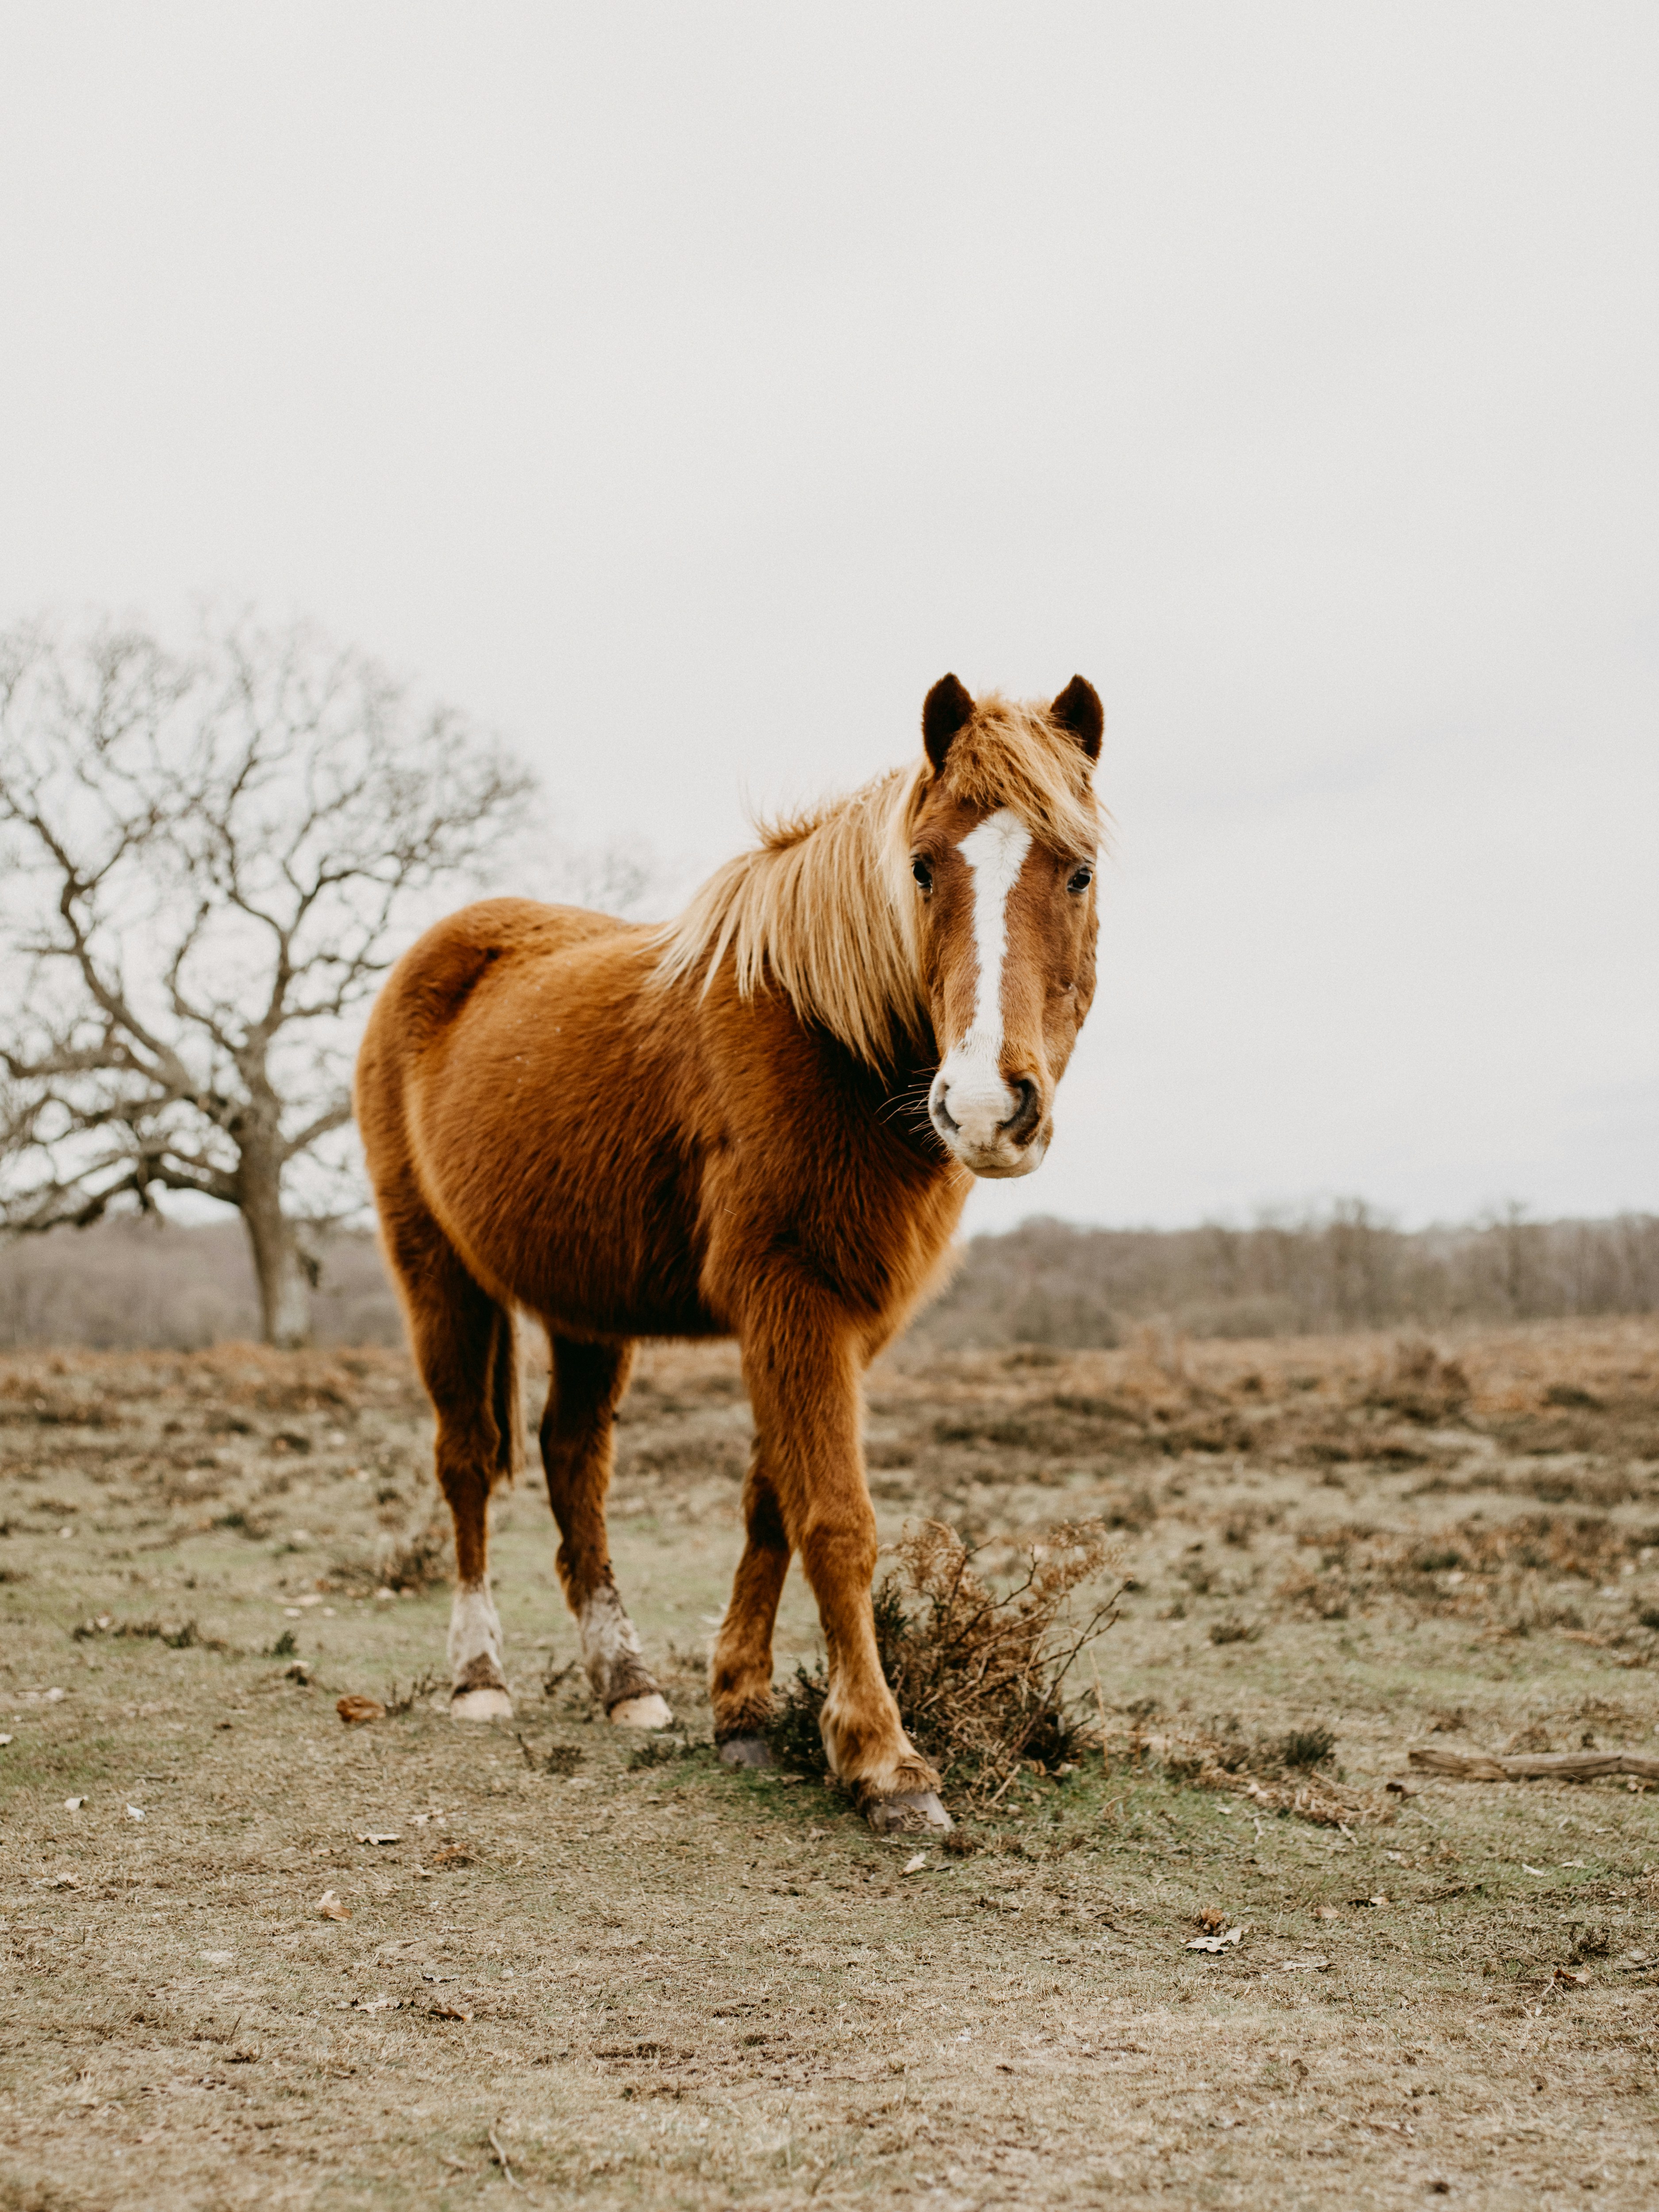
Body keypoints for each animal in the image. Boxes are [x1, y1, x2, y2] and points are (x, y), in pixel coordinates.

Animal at [354, 672, 1104, 1833]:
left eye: (1076, 871)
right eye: (922, 866)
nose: (987, 1107)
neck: (823, 1033)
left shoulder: (839, 1317)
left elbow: (772, 1503)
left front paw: (741, 1710)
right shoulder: (788, 1296)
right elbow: (834, 1518)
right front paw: (884, 1762)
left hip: (585, 1306)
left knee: (573, 1462)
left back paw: (625, 1683)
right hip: (437, 1275)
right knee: (468, 1458)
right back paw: (478, 1677)